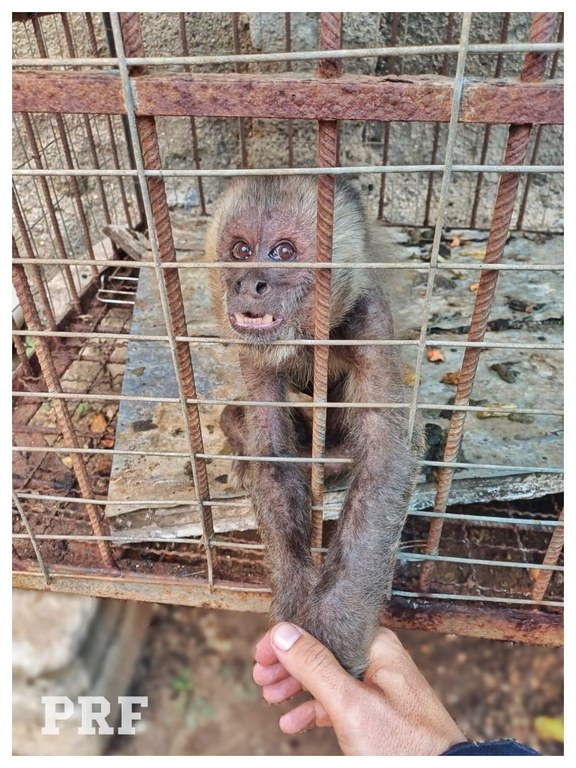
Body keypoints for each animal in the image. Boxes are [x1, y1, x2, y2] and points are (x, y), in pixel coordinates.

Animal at [206, 175, 418, 676]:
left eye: (284, 252)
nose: (248, 283)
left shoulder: (370, 317)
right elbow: (270, 452)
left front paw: (335, 626)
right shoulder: (251, 347)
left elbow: (387, 455)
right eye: (241, 250)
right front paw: (294, 596)